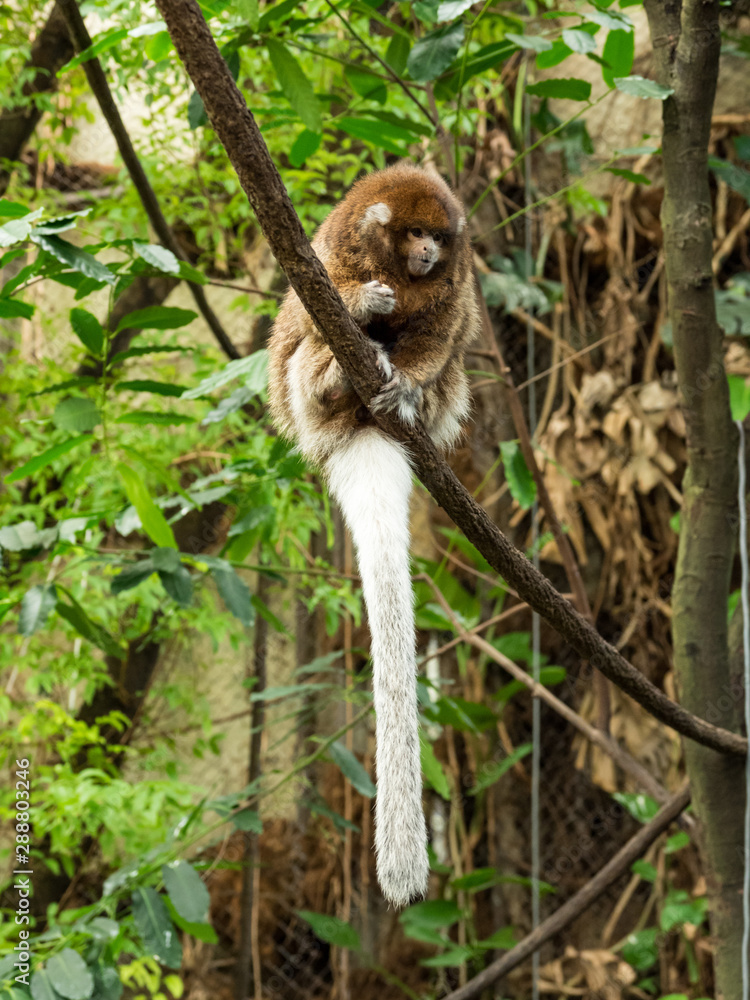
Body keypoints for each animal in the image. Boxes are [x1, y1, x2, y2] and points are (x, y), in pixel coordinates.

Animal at [267, 163, 480, 907]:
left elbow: (443, 334)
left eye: (438, 238)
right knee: (302, 355)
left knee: (449, 371)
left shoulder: (458, 279)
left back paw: (398, 399)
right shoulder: (329, 253)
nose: (427, 253)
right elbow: (306, 309)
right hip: (299, 405)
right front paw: (364, 304)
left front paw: (409, 383)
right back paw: (331, 380)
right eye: (414, 232)